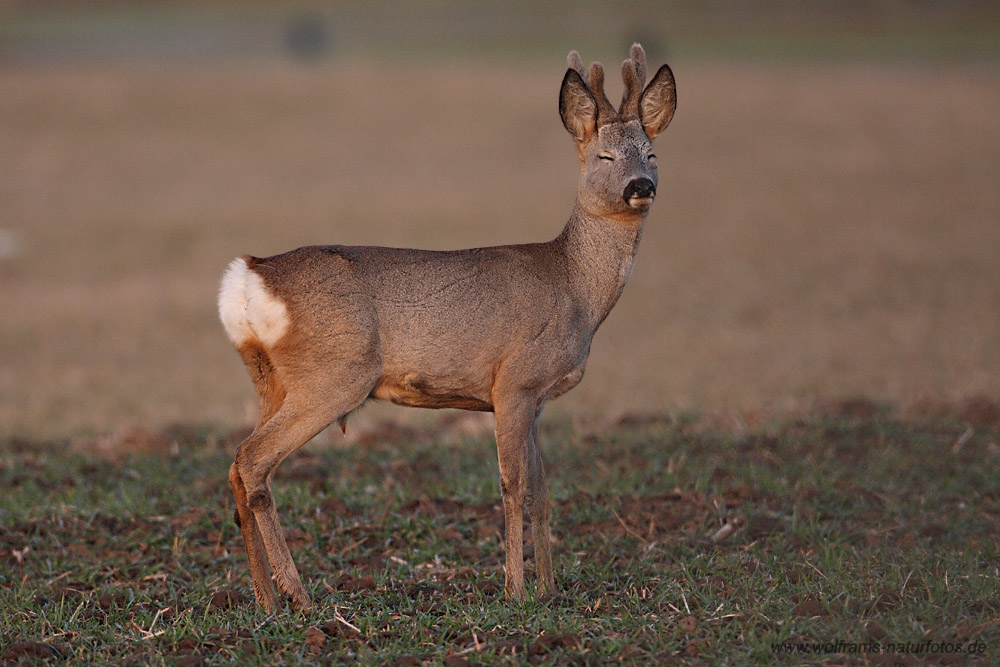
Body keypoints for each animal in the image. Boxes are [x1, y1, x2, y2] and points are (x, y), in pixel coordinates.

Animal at [217, 44, 676, 612]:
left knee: (237, 464)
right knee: (253, 460)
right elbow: (513, 486)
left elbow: (544, 490)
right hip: (335, 373)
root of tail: (249, 275)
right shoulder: (514, 381)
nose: (641, 187)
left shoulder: (538, 399)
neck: (575, 287)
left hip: (273, 381)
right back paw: (297, 597)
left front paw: (548, 590)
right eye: (603, 158)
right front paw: (516, 591)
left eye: (652, 154)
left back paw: (266, 599)